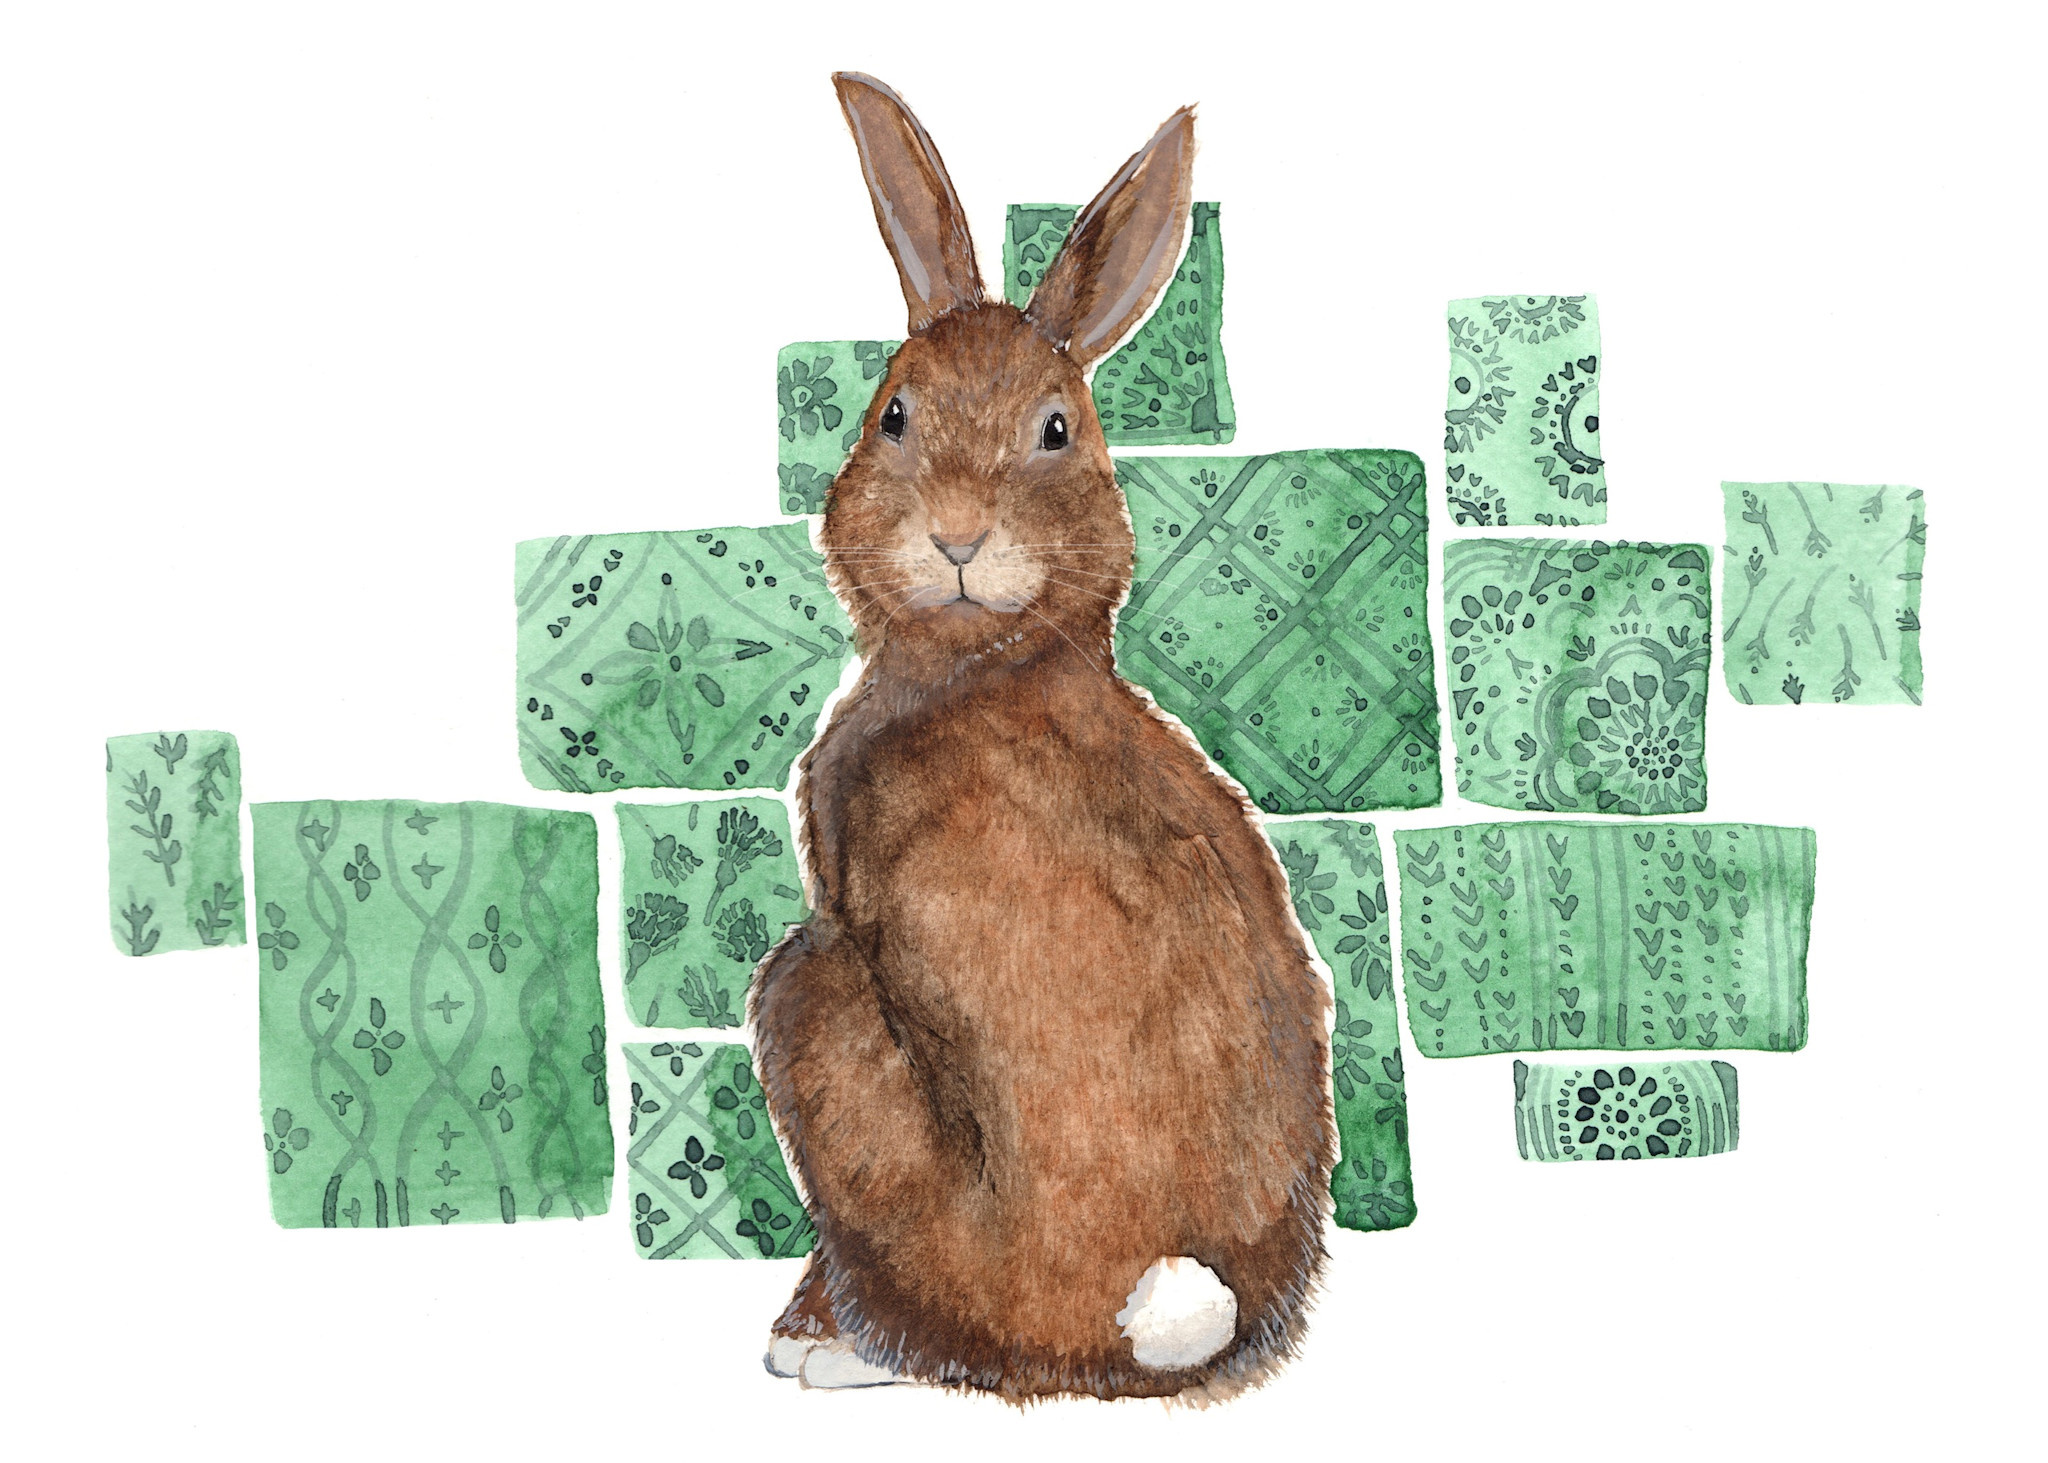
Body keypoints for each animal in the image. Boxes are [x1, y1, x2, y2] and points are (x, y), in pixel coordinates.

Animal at [750, 72, 1335, 1403]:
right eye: (895, 414)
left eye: (1055, 429)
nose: (958, 536)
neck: (990, 665)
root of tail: (1155, 1307)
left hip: (810, 994)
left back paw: (825, 1340)